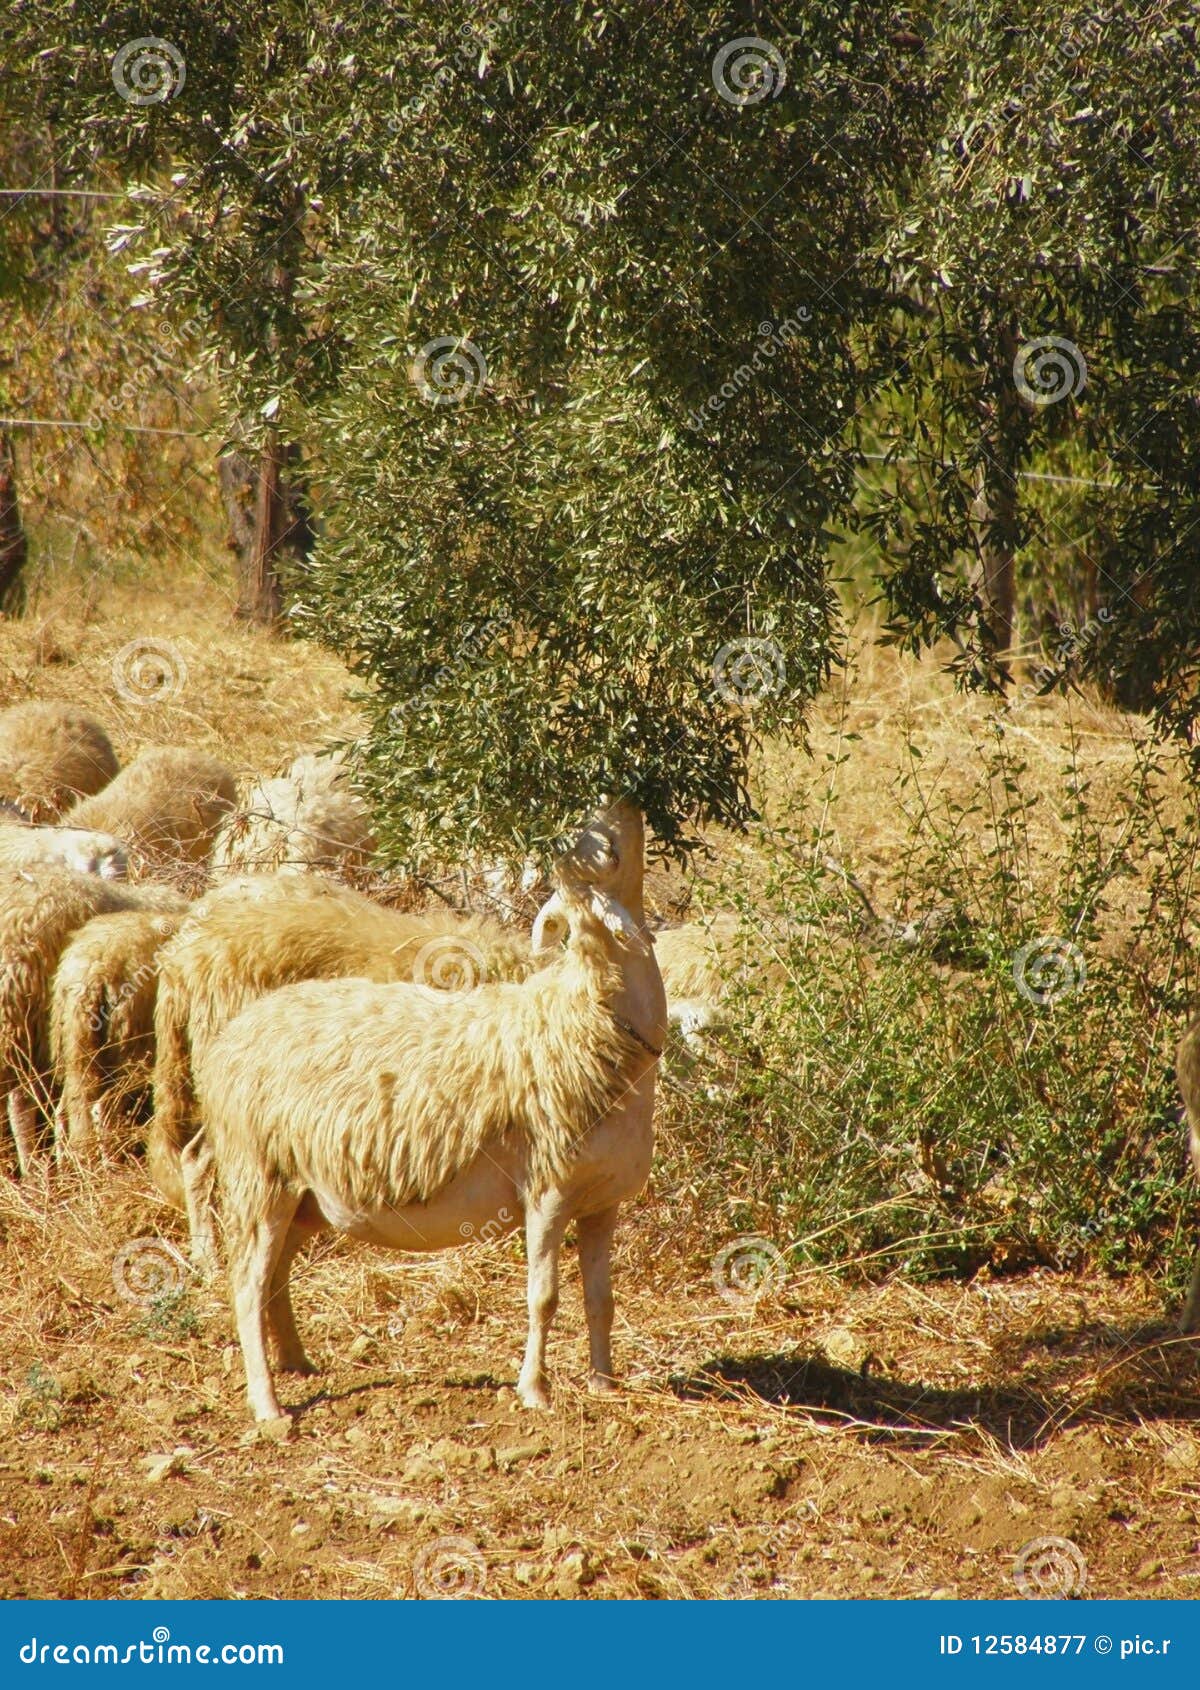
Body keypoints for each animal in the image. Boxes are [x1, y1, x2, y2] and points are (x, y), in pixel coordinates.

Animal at [49, 908, 187, 1159]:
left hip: (76, 1048)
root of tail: (91, 968)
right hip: (128, 1051)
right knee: (102, 1110)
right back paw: (112, 1162)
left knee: (67, 1110)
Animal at [189, 799, 665, 1423]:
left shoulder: (601, 1199)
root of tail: (231, 1037)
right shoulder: (547, 1191)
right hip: (257, 1174)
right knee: (246, 1284)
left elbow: (600, 1299)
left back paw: (296, 1362)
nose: (629, 802)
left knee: (274, 1277)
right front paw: (535, 1392)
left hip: (302, 1194)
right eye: (601, 848)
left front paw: (604, 1383)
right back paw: (268, 1407)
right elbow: (544, 1298)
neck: (583, 1017)